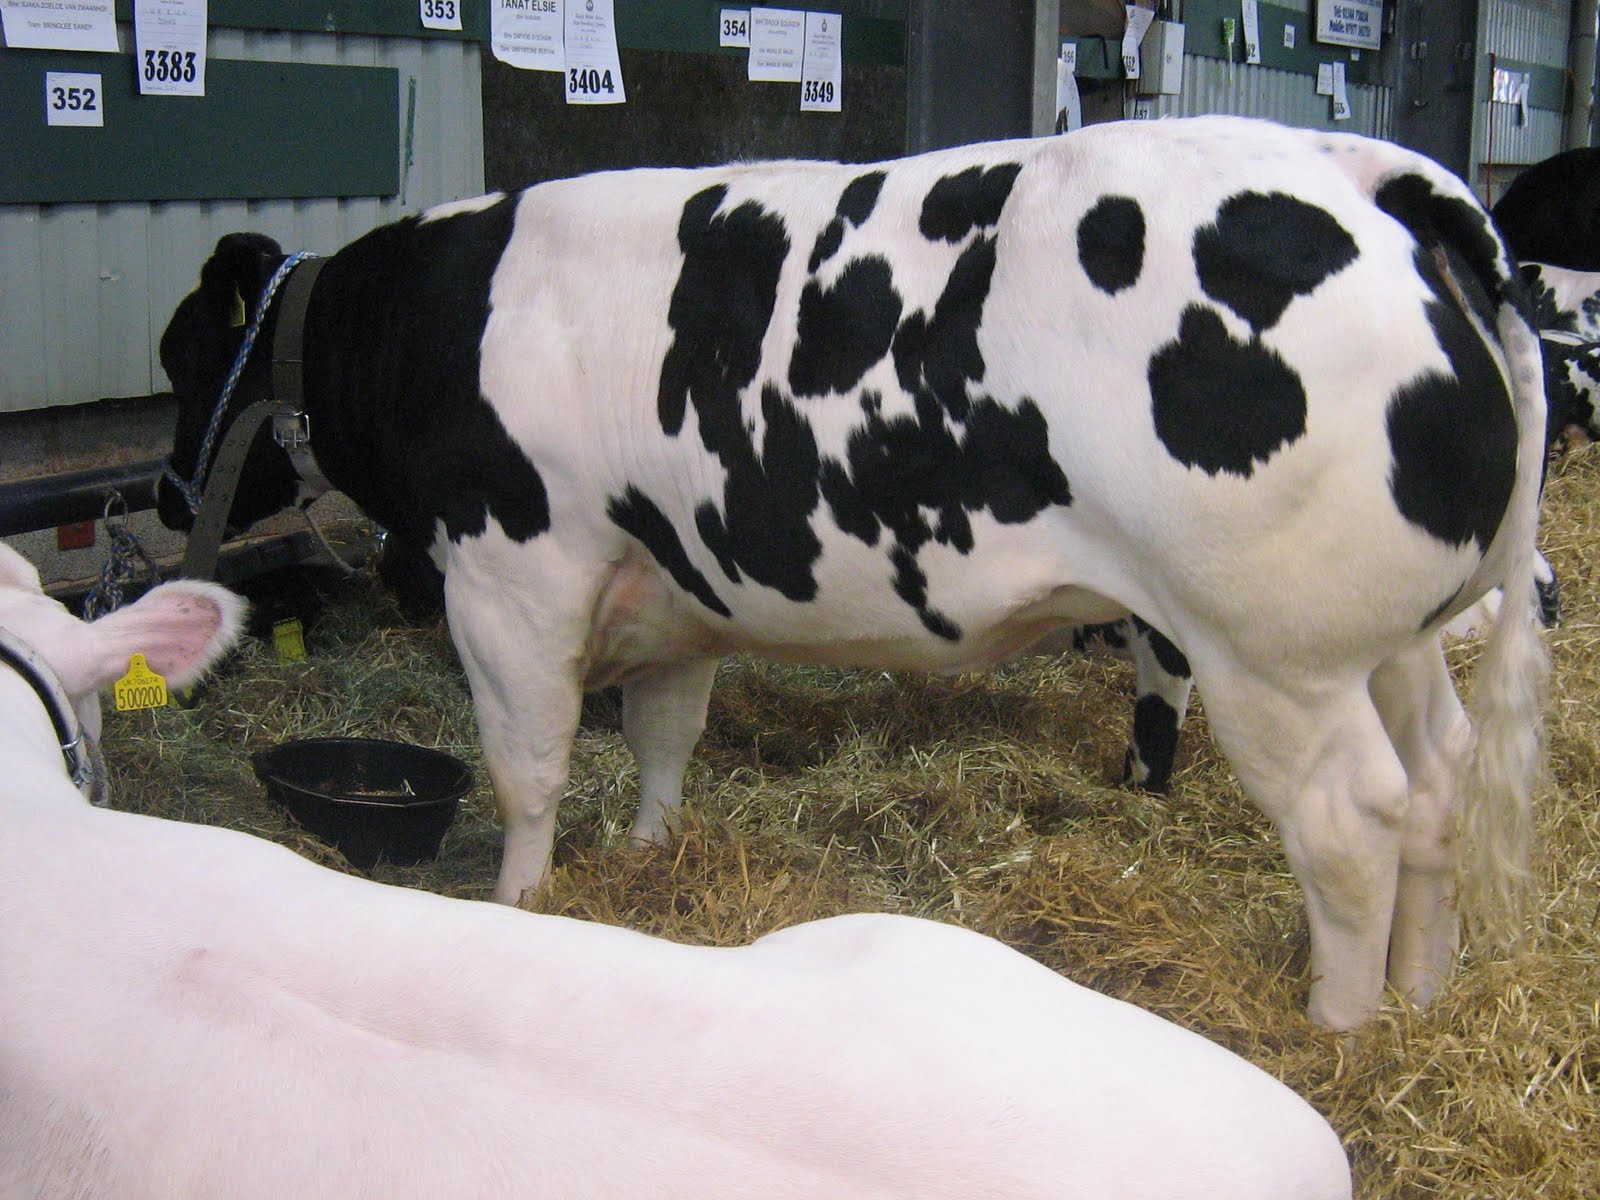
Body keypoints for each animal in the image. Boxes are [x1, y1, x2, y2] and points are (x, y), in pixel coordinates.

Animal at [156, 115, 1550, 1032]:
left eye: (181, 359)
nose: (172, 497)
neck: (446, 314)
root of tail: (1357, 168)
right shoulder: (672, 587)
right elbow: (666, 734)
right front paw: (653, 860)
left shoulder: (511, 572)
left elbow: (528, 763)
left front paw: (522, 900)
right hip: (1389, 640)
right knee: (1437, 783)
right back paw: (1421, 1003)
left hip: (1271, 654)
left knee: (1354, 820)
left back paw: (1340, 1031)